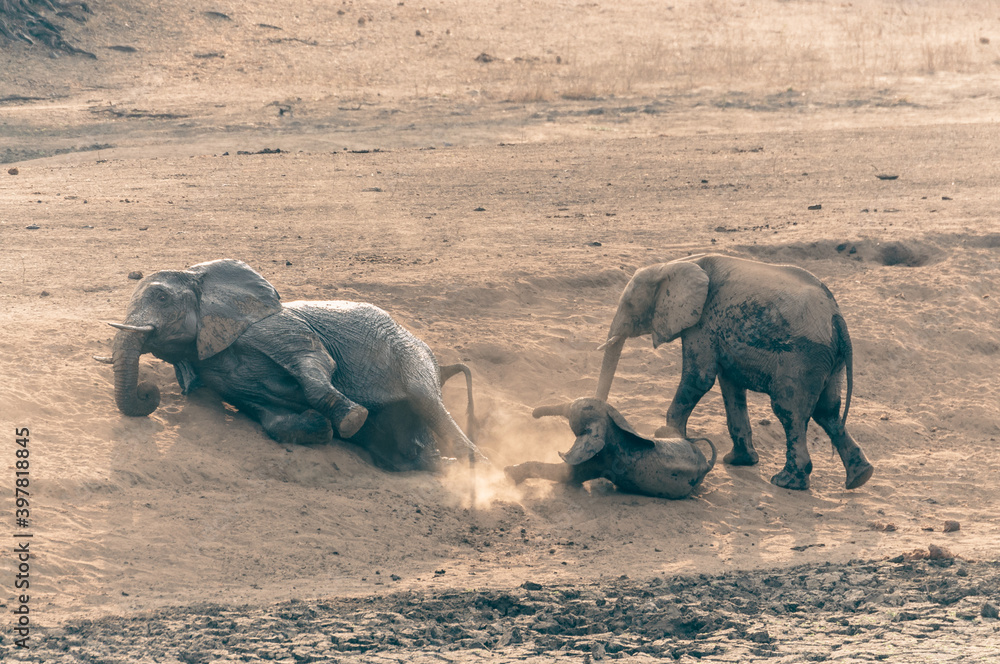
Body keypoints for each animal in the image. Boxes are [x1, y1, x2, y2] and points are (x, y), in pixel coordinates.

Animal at [99, 258, 484, 471]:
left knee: (428, 403)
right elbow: (269, 416)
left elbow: (317, 364)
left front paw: (350, 419)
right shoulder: (220, 378)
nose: (148, 392)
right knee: (406, 448)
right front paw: (321, 428)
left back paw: (480, 468)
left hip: (411, 355)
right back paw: (443, 465)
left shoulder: (277, 328)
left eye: (161, 296)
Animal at [505, 398, 716, 499]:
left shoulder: (601, 461)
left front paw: (509, 473)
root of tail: (707, 464)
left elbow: (566, 475)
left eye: (574, 411)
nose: (534, 414)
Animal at [594, 253, 873, 491]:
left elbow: (700, 377)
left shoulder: (703, 322)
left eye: (630, 304)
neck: (671, 264)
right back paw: (859, 477)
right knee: (827, 412)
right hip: (828, 360)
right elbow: (730, 386)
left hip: (802, 357)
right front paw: (739, 461)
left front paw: (668, 437)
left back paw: (787, 482)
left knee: (790, 411)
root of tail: (837, 317)